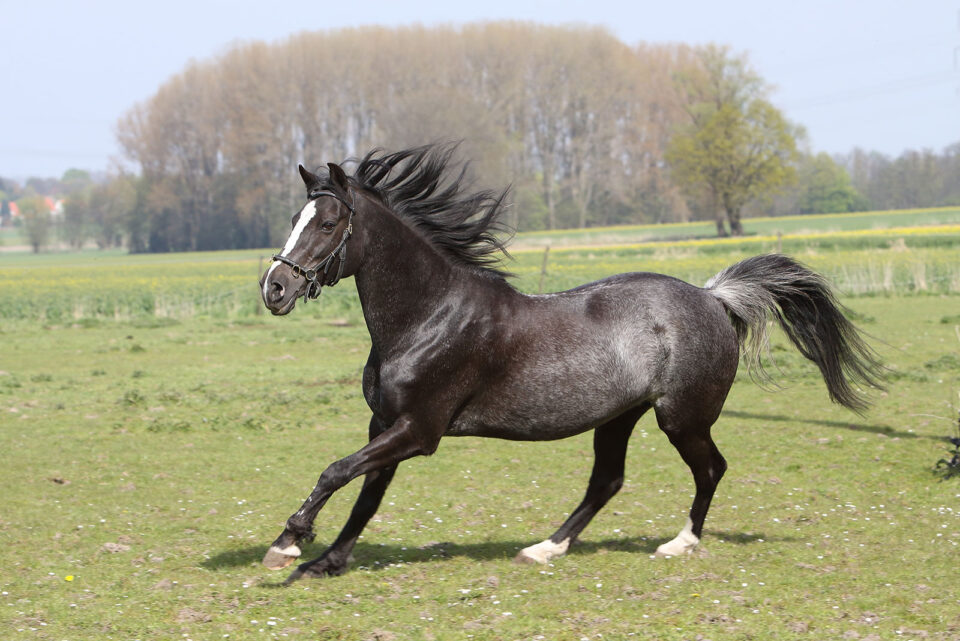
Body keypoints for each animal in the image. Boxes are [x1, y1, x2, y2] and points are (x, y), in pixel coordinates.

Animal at [257, 144, 883, 582]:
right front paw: (323, 562)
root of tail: (714, 298)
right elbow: (365, 493)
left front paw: (288, 543)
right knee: (607, 480)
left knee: (710, 469)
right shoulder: (386, 424)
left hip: (680, 417)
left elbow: (337, 471)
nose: (274, 288)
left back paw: (678, 543)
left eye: (328, 223)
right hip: (619, 417)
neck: (429, 317)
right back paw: (544, 548)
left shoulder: (419, 430)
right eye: (293, 218)